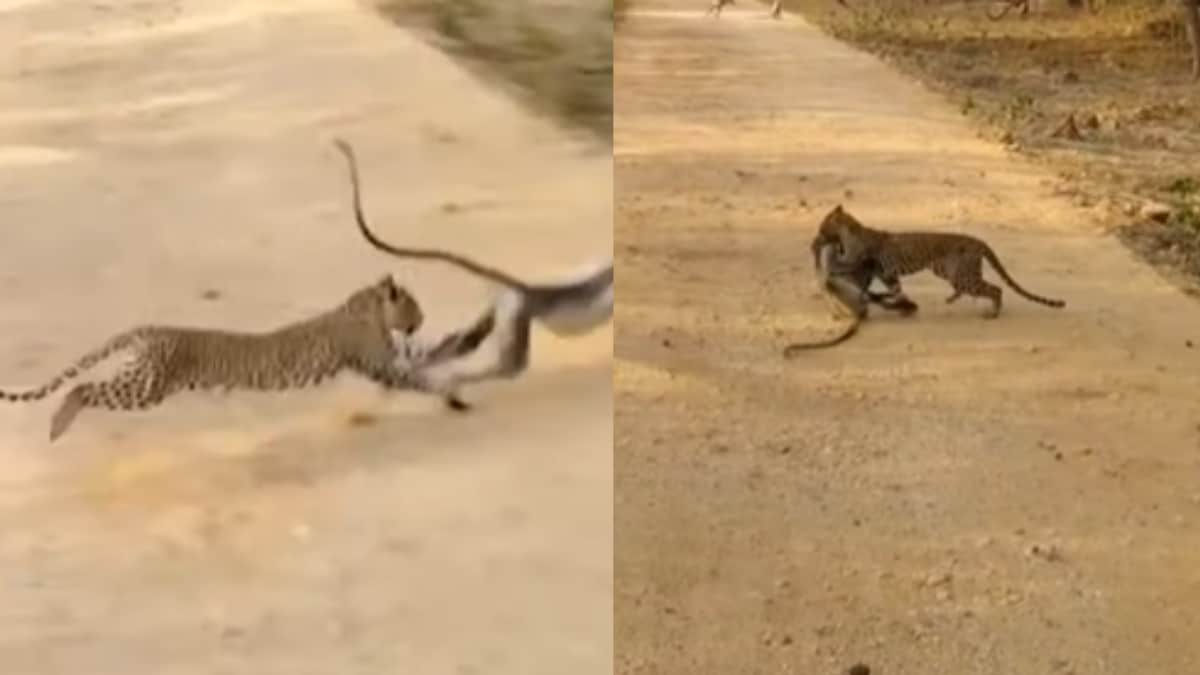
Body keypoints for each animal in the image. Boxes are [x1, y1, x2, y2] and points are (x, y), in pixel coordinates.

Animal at [0, 275, 496, 442]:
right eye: (412, 305)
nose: (420, 316)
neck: (366, 306)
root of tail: (150, 328)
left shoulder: (389, 353)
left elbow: (431, 350)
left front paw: (473, 335)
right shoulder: (377, 361)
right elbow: (422, 375)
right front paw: (454, 394)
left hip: (143, 381)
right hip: (148, 386)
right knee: (82, 388)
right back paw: (57, 426)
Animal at [332, 139, 612, 407]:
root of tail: (521, 287)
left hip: (505, 310)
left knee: (462, 342)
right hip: (516, 311)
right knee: (509, 366)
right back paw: (449, 386)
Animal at [811, 204, 1065, 319]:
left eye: (823, 225)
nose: (817, 235)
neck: (851, 231)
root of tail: (978, 241)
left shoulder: (858, 258)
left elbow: (844, 263)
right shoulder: (887, 273)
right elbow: (897, 289)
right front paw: (904, 306)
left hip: (963, 275)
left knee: (995, 289)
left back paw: (993, 313)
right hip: (948, 271)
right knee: (971, 288)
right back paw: (951, 299)